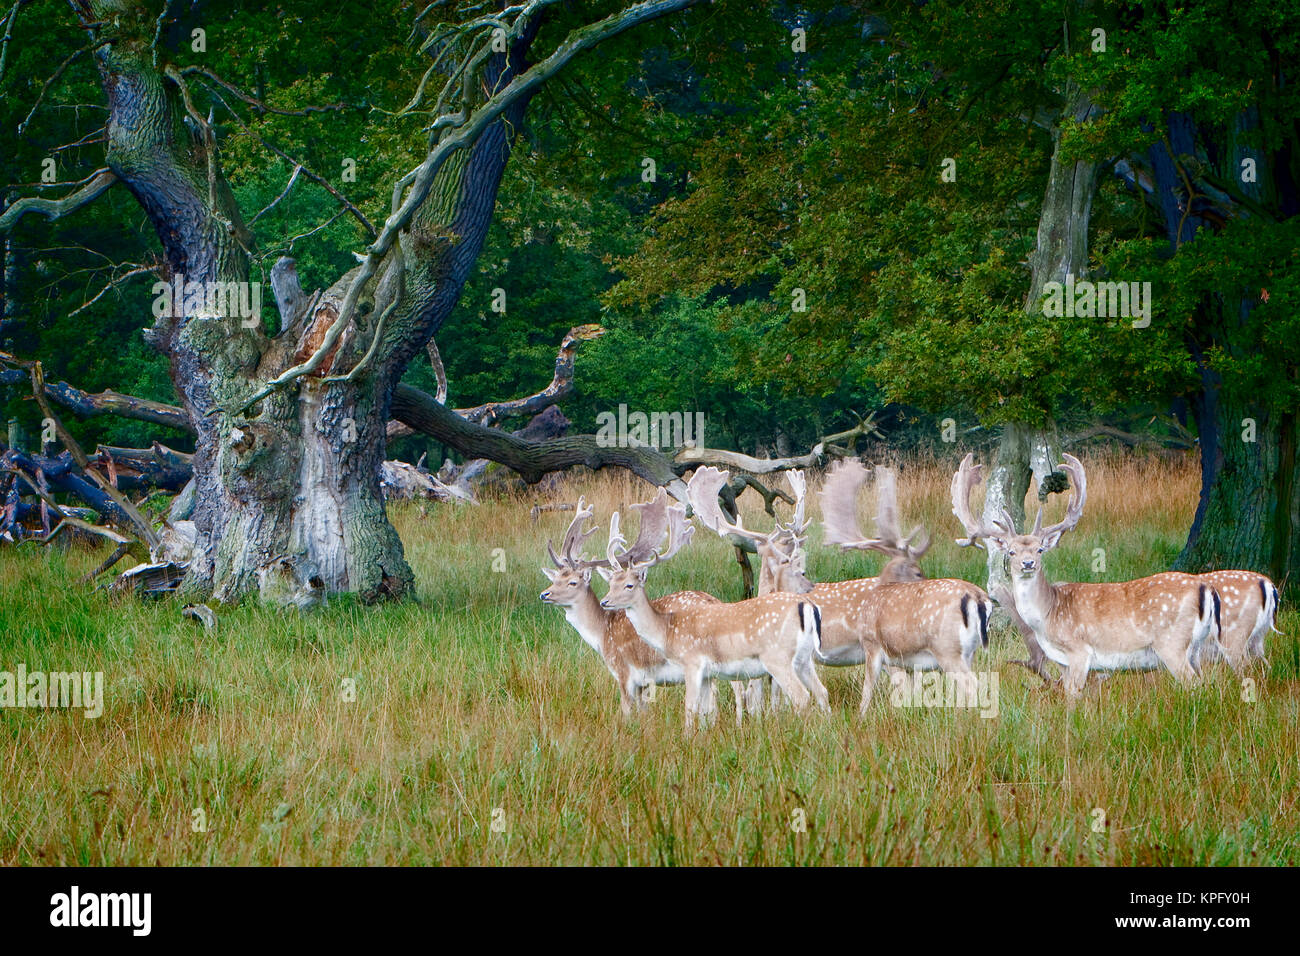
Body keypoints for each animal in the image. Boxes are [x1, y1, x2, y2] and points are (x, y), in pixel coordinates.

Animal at [539, 493, 720, 718]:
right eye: (555, 579)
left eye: (572, 582)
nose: (544, 594)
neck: (601, 635)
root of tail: (714, 601)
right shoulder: (643, 682)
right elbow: (643, 713)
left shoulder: (623, 672)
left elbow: (626, 712)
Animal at [598, 479, 829, 731]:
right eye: (610, 583)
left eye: (629, 585)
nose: (604, 601)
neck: (667, 630)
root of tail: (807, 607)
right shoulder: (709, 673)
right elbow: (706, 710)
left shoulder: (692, 662)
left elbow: (690, 709)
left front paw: (688, 736)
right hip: (803, 659)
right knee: (821, 691)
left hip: (777, 657)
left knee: (801, 696)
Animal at [816, 458, 994, 714]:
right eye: (918, 572)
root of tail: (979, 598)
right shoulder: (905, 661)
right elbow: (909, 692)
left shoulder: (872, 644)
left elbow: (868, 689)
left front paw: (861, 716)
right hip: (968, 651)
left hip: (946, 648)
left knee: (973, 686)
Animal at [950, 452, 1223, 697]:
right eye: (1011, 551)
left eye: (1040, 549)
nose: (1028, 563)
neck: (1048, 616)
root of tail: (1206, 589)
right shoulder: (1064, 661)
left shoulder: (1079, 651)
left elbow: (1073, 696)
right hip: (1195, 648)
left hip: (1172, 643)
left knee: (1194, 684)